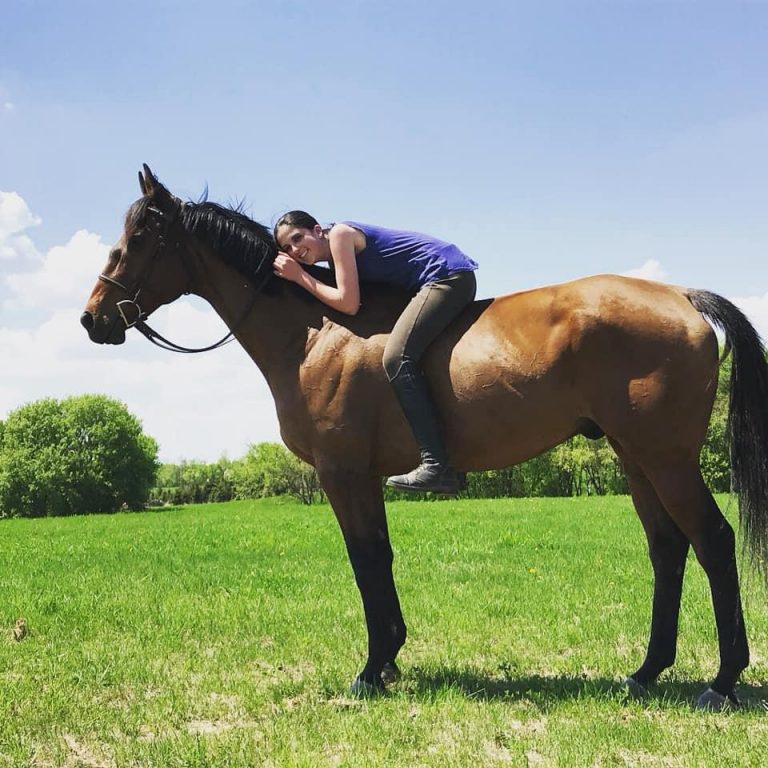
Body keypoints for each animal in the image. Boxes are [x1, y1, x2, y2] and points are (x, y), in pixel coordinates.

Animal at [81, 165, 768, 709]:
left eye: (139, 238)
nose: (92, 318)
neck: (317, 331)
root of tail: (680, 295)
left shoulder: (342, 474)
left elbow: (363, 561)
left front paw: (369, 670)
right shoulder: (364, 478)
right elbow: (380, 557)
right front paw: (388, 660)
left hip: (666, 458)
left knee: (712, 540)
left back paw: (722, 681)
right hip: (635, 458)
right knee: (667, 548)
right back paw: (647, 672)